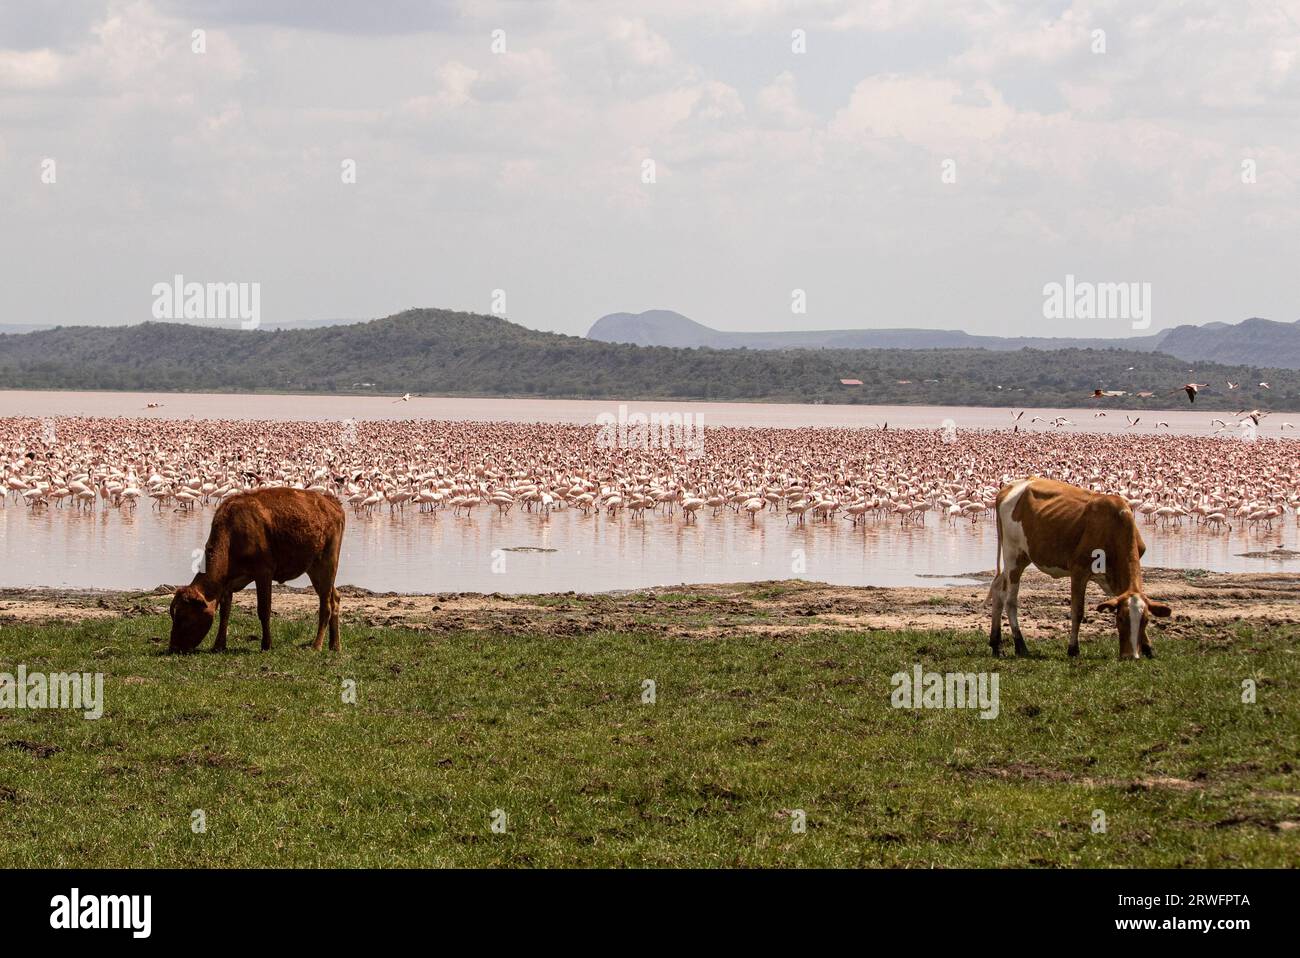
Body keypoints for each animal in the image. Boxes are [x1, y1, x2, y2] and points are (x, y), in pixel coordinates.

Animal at [169, 488, 345, 653]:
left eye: (184, 617)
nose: (173, 647)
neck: (231, 535)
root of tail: (331, 502)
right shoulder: (228, 584)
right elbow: (225, 612)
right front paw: (219, 645)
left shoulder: (263, 573)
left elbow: (264, 609)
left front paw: (266, 644)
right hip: (314, 569)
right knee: (335, 598)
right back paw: (334, 645)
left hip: (328, 563)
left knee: (326, 605)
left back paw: (317, 645)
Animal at [988, 477, 1171, 660]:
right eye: (1120, 618)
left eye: (1145, 620)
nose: (1131, 656)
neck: (1114, 526)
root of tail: (1012, 486)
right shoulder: (1079, 570)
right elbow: (1077, 611)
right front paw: (1073, 649)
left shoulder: (1116, 579)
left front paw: (1148, 648)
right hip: (1013, 556)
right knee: (1010, 601)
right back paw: (1021, 646)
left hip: (1023, 557)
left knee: (998, 589)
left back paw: (996, 645)